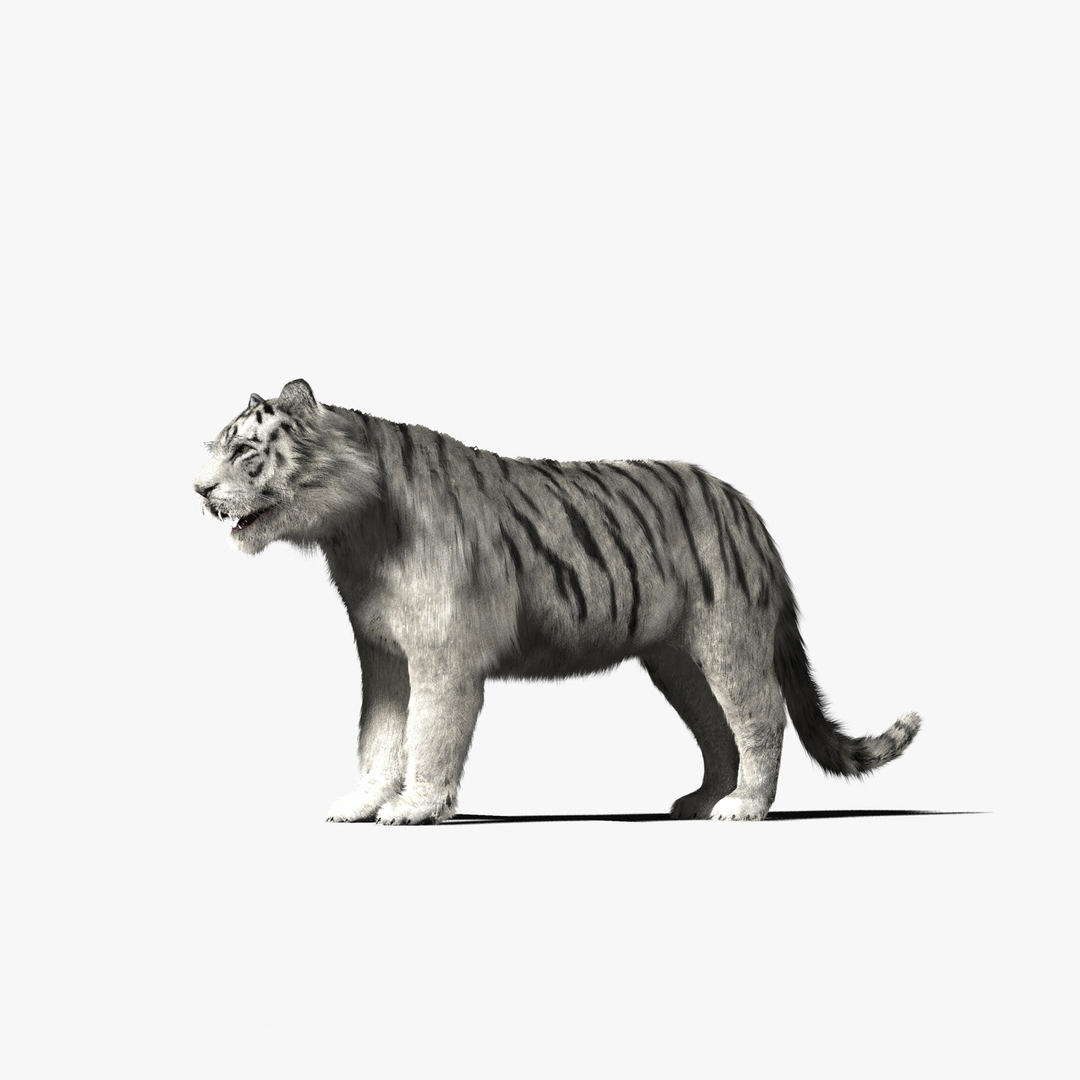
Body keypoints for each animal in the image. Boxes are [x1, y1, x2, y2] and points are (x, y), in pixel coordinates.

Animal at [194, 379, 921, 824]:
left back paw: (745, 806)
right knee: (716, 727)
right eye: (215, 448)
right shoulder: (383, 655)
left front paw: (416, 808)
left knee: (760, 715)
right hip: (677, 661)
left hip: (728, 641)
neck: (355, 532)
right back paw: (703, 799)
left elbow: (428, 735)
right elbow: (378, 735)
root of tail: (743, 504)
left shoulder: (444, 659)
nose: (198, 489)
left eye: (247, 450)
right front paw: (361, 804)